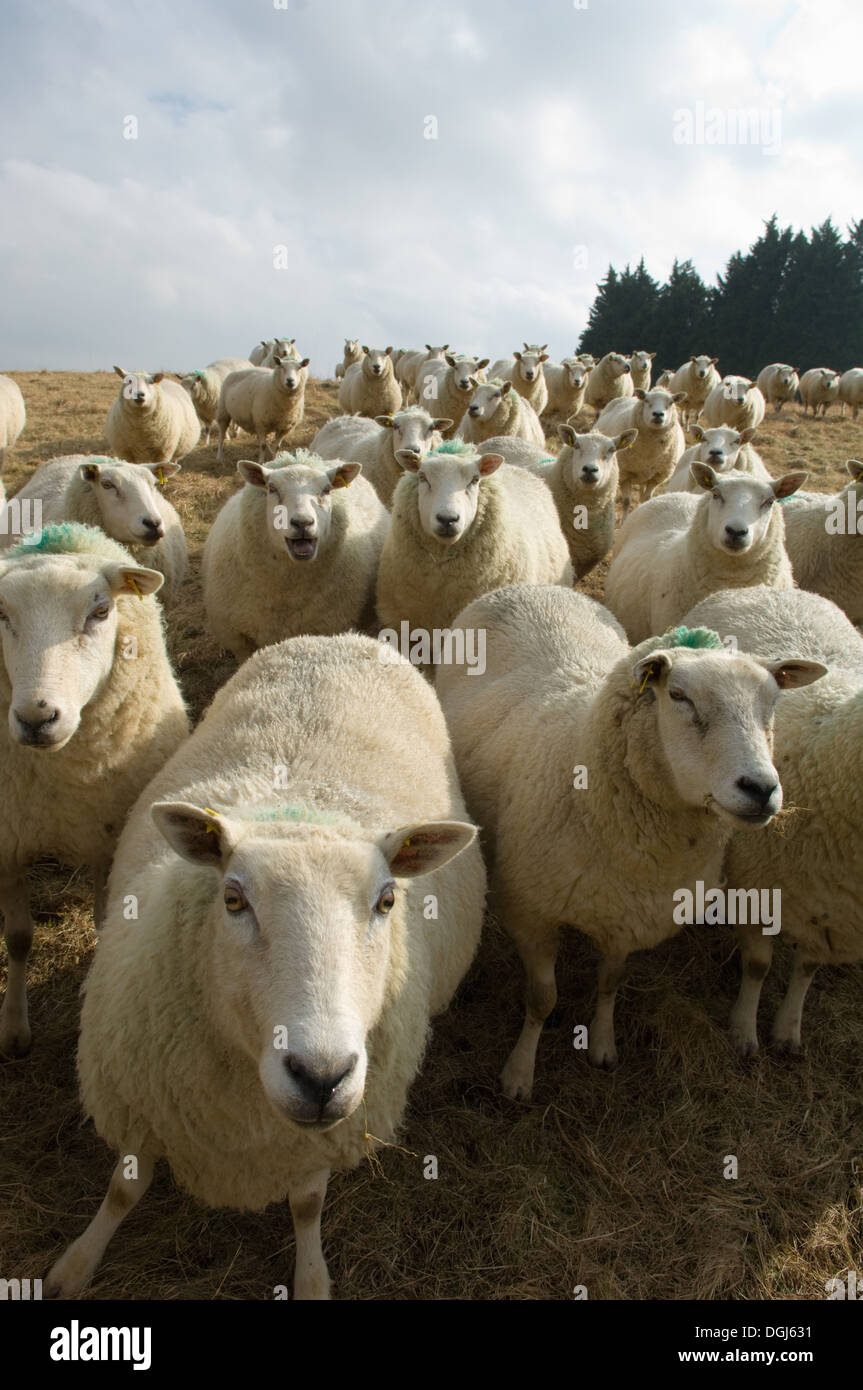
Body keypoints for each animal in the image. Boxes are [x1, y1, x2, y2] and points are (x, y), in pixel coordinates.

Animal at [0, 523, 189, 1057]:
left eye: (100, 612)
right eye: (1, 614)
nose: (37, 718)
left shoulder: (107, 836)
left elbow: (106, 924)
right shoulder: (7, 843)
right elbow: (18, 937)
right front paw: (14, 1027)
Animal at [43, 631, 485, 1300]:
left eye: (387, 901)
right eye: (233, 899)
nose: (321, 1076)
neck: (300, 807)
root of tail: (342, 637)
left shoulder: (313, 1140)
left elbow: (306, 1205)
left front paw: (311, 1278)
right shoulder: (140, 1093)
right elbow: (124, 1187)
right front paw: (74, 1266)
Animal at [436, 585, 823, 1088]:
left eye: (772, 703)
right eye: (678, 696)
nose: (760, 788)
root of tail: (534, 587)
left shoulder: (628, 912)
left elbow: (610, 983)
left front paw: (602, 1045)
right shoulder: (530, 912)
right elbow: (542, 1000)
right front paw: (519, 1073)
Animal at [681, 585, 856, 1057]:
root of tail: (764, 588)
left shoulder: (831, 909)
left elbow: (809, 966)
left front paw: (787, 1031)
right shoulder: (760, 883)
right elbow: (759, 965)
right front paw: (744, 1032)